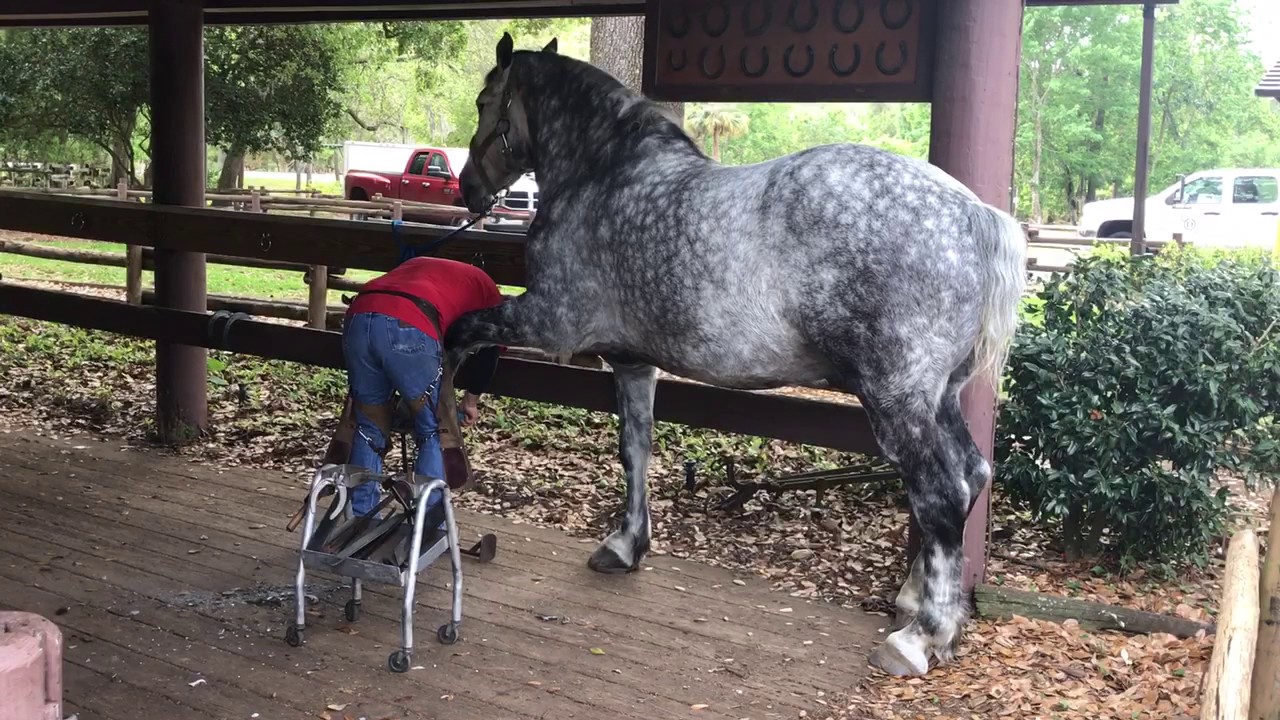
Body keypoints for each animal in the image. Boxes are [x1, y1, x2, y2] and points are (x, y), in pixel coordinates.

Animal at [444, 33, 1027, 678]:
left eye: (484, 102)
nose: (468, 188)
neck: (604, 176)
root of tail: (974, 215)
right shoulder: (632, 363)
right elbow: (634, 449)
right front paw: (626, 545)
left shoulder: (547, 322)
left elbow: (459, 334)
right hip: (940, 395)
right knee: (972, 474)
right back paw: (916, 602)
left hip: (897, 400)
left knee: (940, 492)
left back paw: (921, 636)